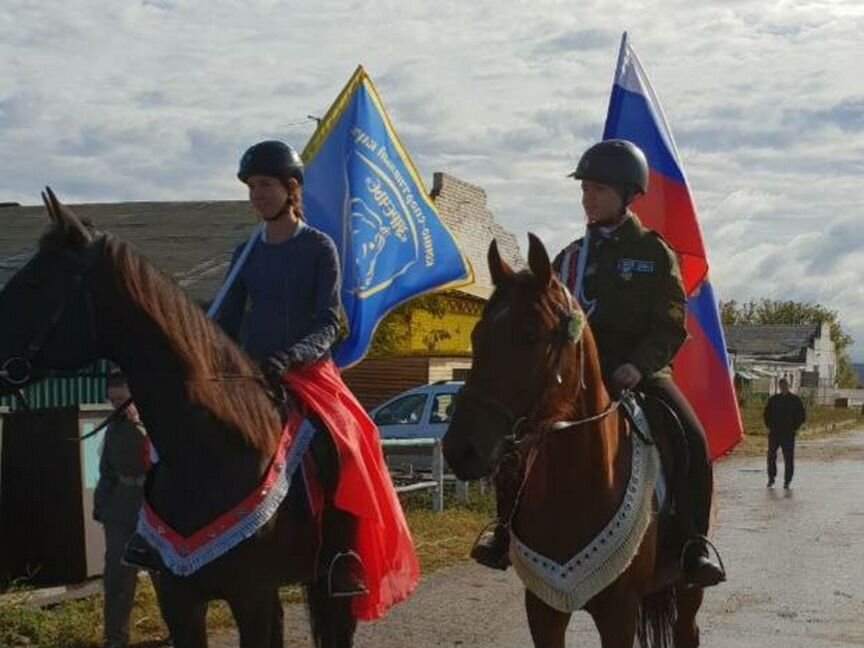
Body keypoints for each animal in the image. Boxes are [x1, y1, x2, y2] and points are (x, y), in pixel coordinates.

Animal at [442, 233, 706, 648]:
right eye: (477, 335)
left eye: (531, 336)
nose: (461, 450)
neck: (574, 483)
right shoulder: (543, 610)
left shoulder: (619, 613)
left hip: (688, 590)